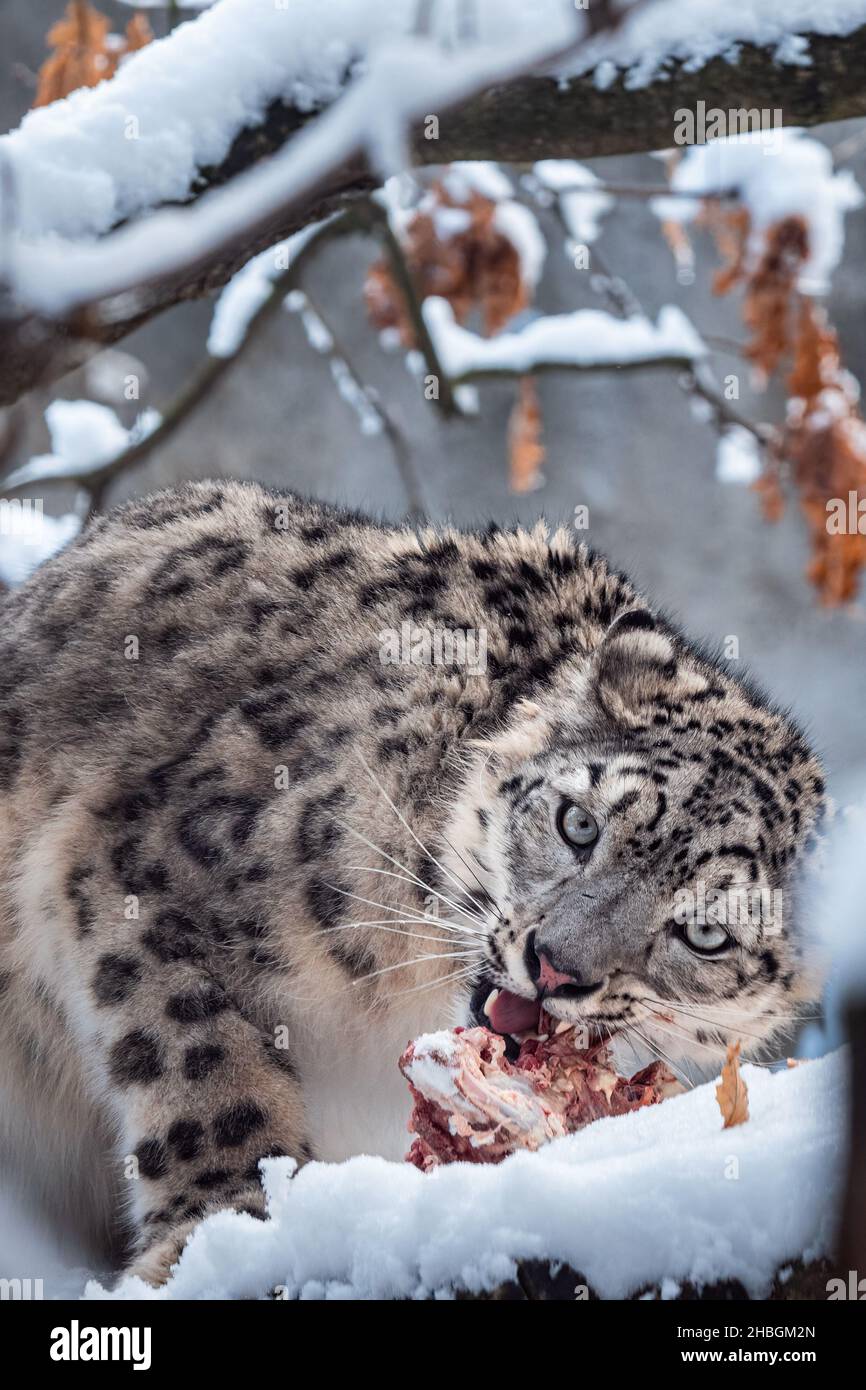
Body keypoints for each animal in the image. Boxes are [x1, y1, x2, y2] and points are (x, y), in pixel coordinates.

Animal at [0, 479, 827, 1284]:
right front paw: (215, 1233)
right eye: (579, 824)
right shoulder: (142, 861)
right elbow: (201, 1061)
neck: (392, 1001)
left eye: (706, 933)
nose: (556, 966)